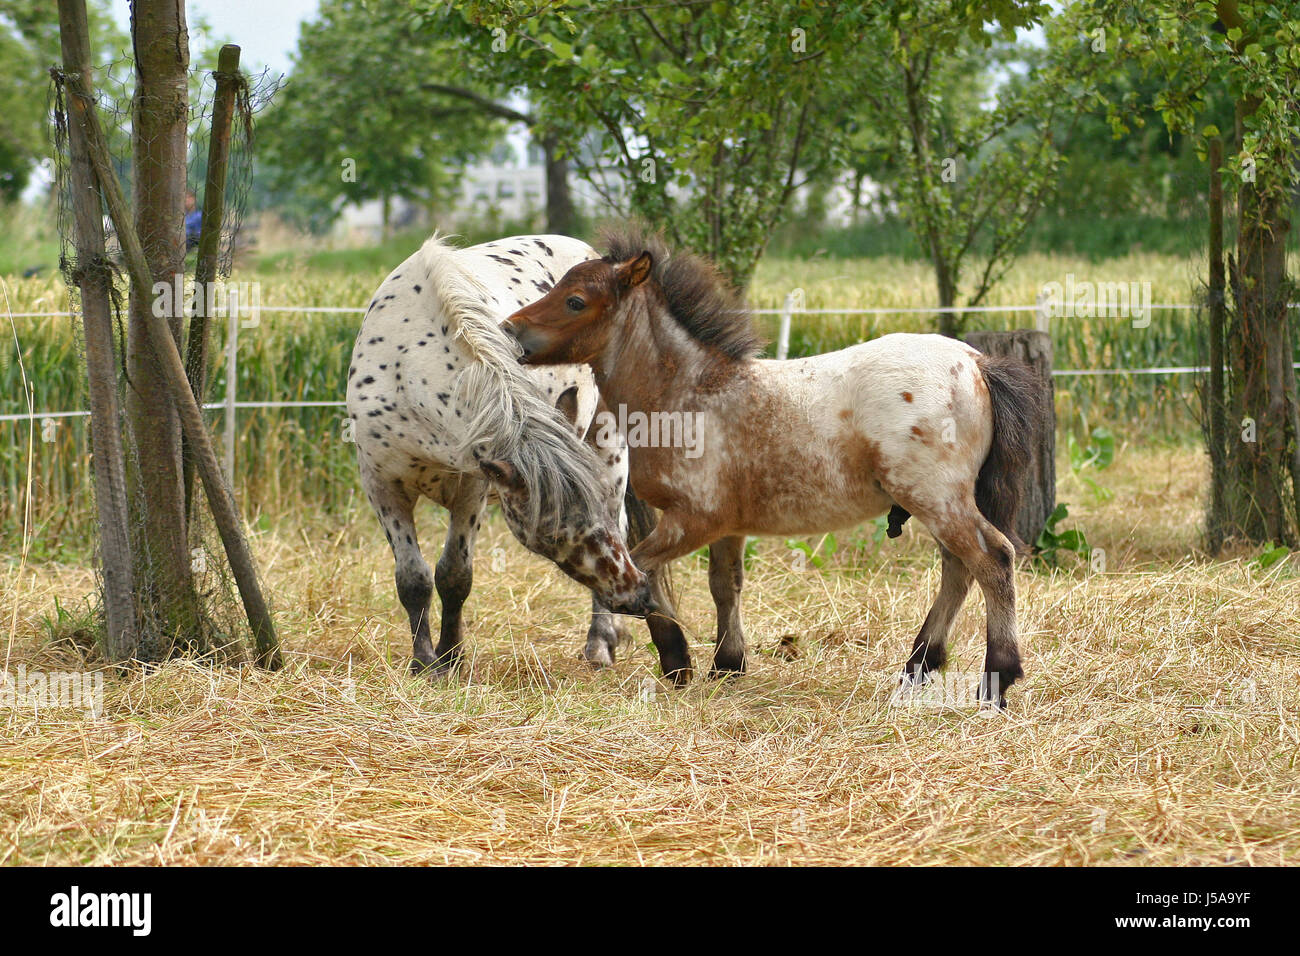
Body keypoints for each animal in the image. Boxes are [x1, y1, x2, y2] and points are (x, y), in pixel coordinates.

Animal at [347, 234, 664, 676]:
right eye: (552, 533)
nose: (638, 595)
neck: (407, 368)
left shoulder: (472, 488)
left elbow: (454, 576)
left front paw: (451, 657)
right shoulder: (382, 485)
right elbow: (413, 579)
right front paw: (423, 660)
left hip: (609, 447)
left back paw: (601, 641)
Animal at [501, 228, 1047, 707]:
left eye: (576, 301)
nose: (508, 330)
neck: (687, 394)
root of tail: (977, 363)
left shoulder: (694, 519)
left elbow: (640, 571)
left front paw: (677, 658)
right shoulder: (727, 525)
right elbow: (724, 584)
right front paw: (726, 664)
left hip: (936, 497)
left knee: (992, 559)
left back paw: (996, 680)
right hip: (940, 502)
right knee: (958, 568)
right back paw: (918, 667)